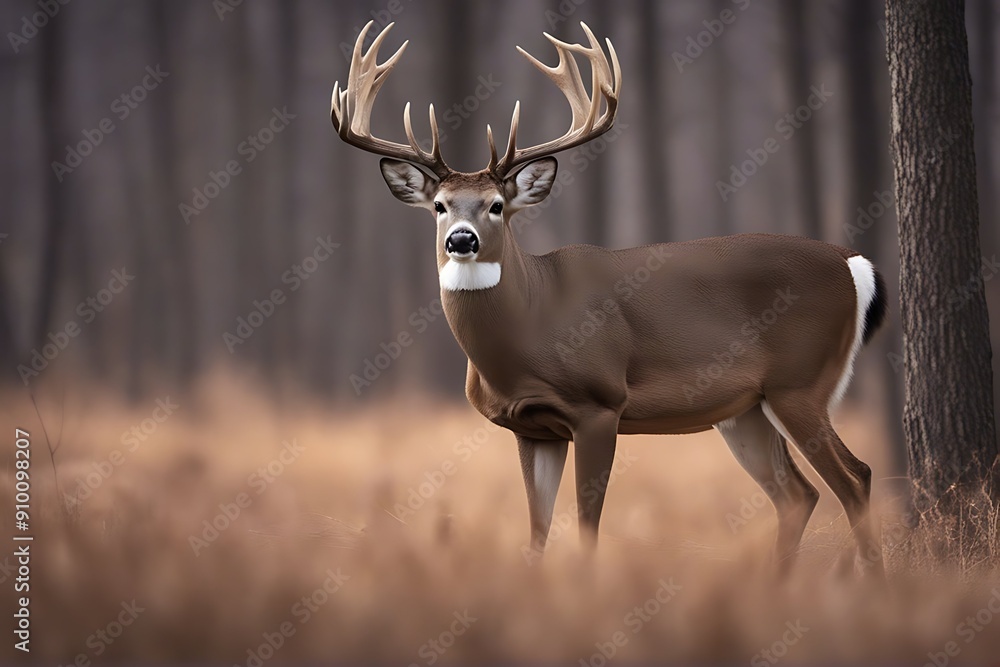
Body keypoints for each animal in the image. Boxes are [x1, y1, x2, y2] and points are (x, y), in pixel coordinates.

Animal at [330, 20, 888, 576]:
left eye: (496, 205)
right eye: (441, 206)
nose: (460, 240)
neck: (529, 329)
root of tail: (854, 264)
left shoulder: (599, 404)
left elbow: (586, 524)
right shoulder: (531, 428)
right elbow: (537, 532)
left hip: (802, 383)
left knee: (855, 477)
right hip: (747, 409)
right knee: (798, 495)